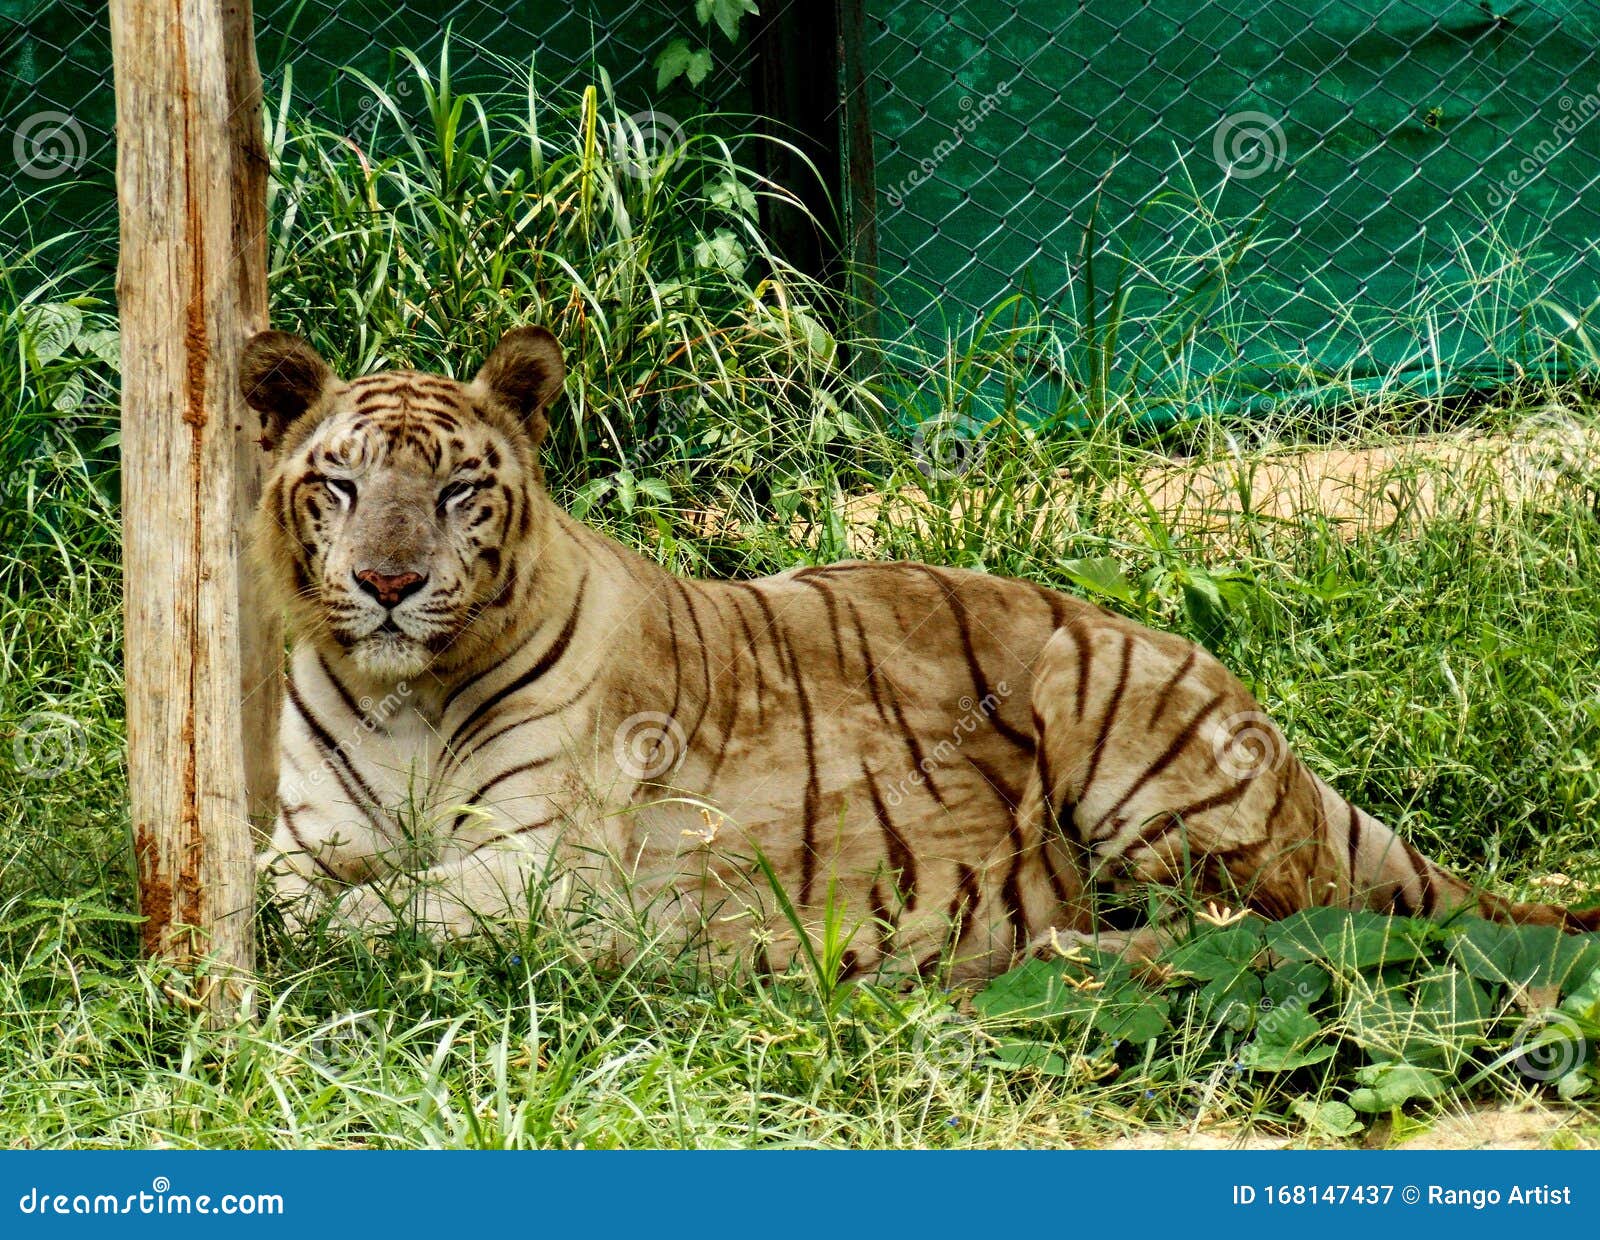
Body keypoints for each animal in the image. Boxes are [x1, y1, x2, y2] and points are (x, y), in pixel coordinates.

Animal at [241, 324, 1600, 979]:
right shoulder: (305, 833)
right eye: (342, 486)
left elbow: (373, 916)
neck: (405, 697)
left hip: (1116, 724)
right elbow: (276, 894)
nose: (389, 583)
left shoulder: (541, 867)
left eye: (458, 490)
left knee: (1260, 926)